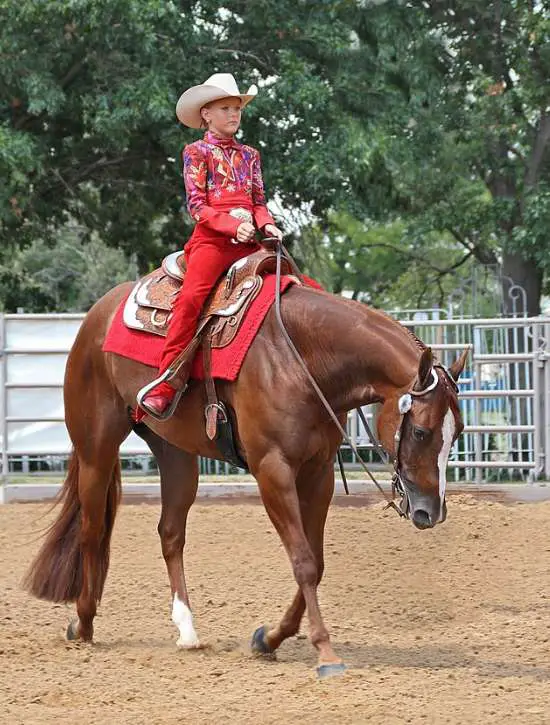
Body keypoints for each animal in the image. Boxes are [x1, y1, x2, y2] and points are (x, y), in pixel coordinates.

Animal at [24, 276, 467, 678]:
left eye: (458, 432)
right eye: (422, 431)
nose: (430, 512)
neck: (301, 357)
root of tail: (97, 315)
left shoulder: (318, 472)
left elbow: (317, 561)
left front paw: (268, 639)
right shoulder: (272, 470)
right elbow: (304, 561)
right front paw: (325, 652)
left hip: (176, 454)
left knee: (170, 532)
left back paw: (187, 630)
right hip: (96, 449)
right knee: (91, 529)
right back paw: (83, 622)